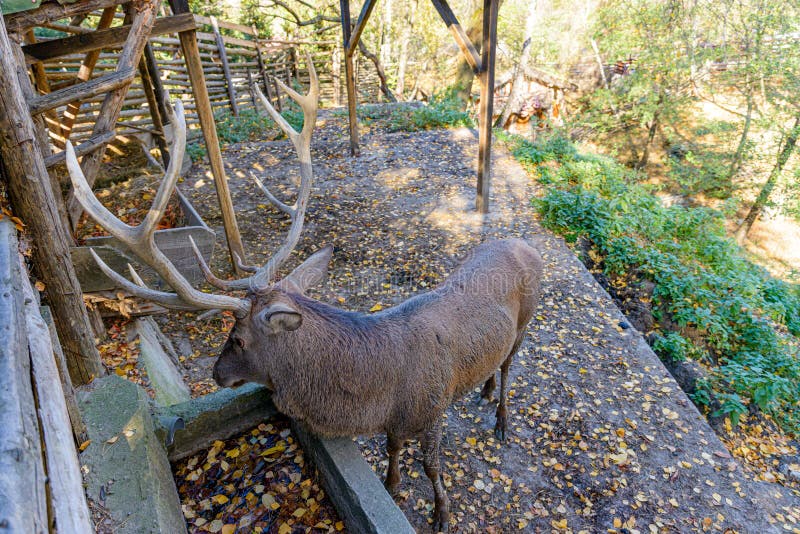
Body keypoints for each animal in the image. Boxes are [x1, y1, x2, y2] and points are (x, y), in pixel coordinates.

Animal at [65, 52, 544, 533]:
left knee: (510, 366)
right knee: (495, 365)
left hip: (525, 322)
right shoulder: (394, 423)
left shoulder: (432, 409)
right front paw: (391, 487)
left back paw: (501, 419)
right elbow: (392, 451)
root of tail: (526, 243)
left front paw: (441, 515)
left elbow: (431, 466)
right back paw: (483, 389)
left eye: (238, 338)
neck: (382, 392)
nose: (216, 374)